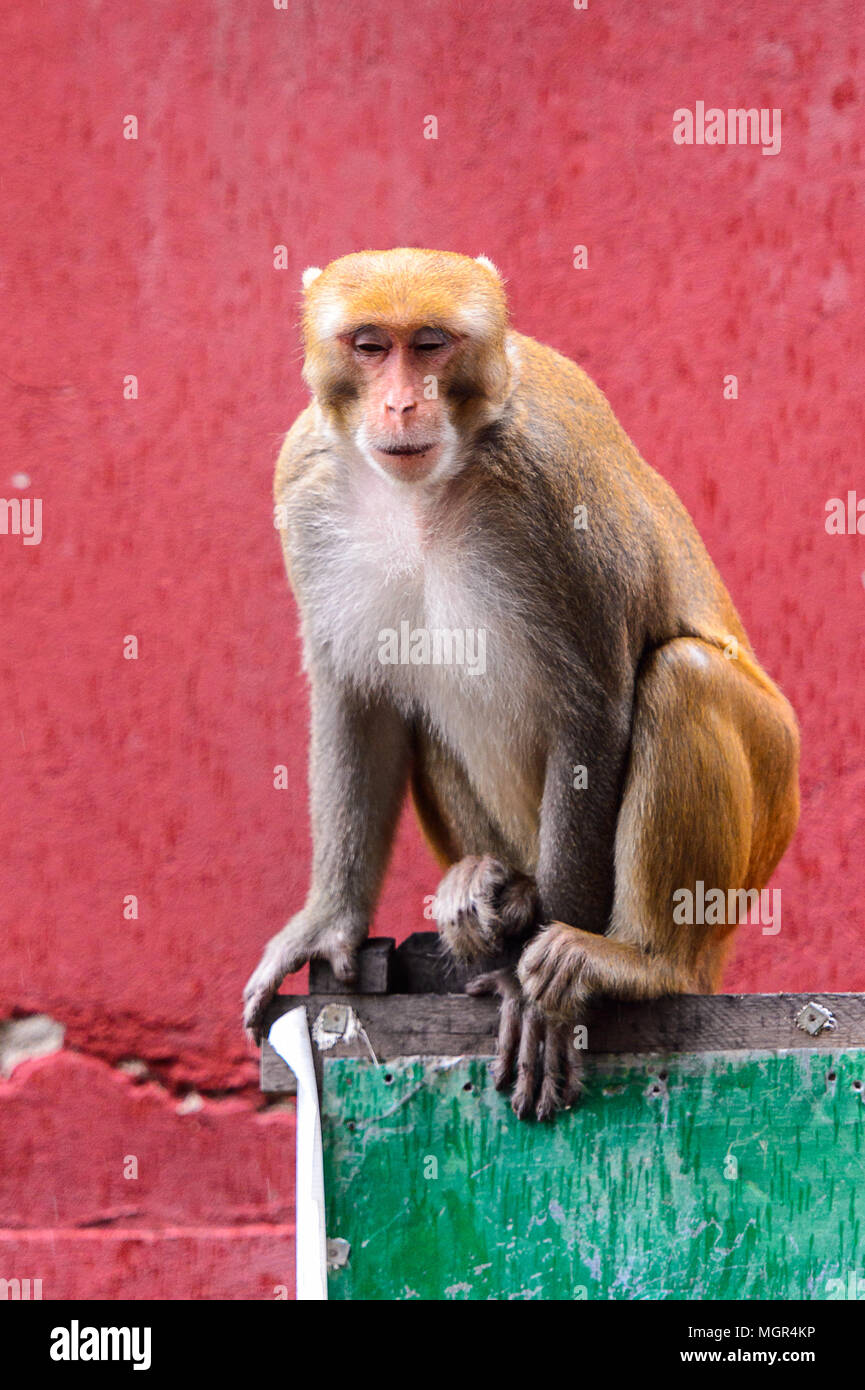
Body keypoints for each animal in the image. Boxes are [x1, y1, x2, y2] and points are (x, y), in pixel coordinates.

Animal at [243, 247, 800, 1120]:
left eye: (429, 344)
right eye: (369, 346)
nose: (400, 402)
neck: (423, 495)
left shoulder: (549, 491)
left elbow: (592, 709)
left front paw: (539, 1002)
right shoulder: (304, 484)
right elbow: (359, 700)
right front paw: (327, 921)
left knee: (682, 677)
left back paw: (640, 958)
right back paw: (493, 886)